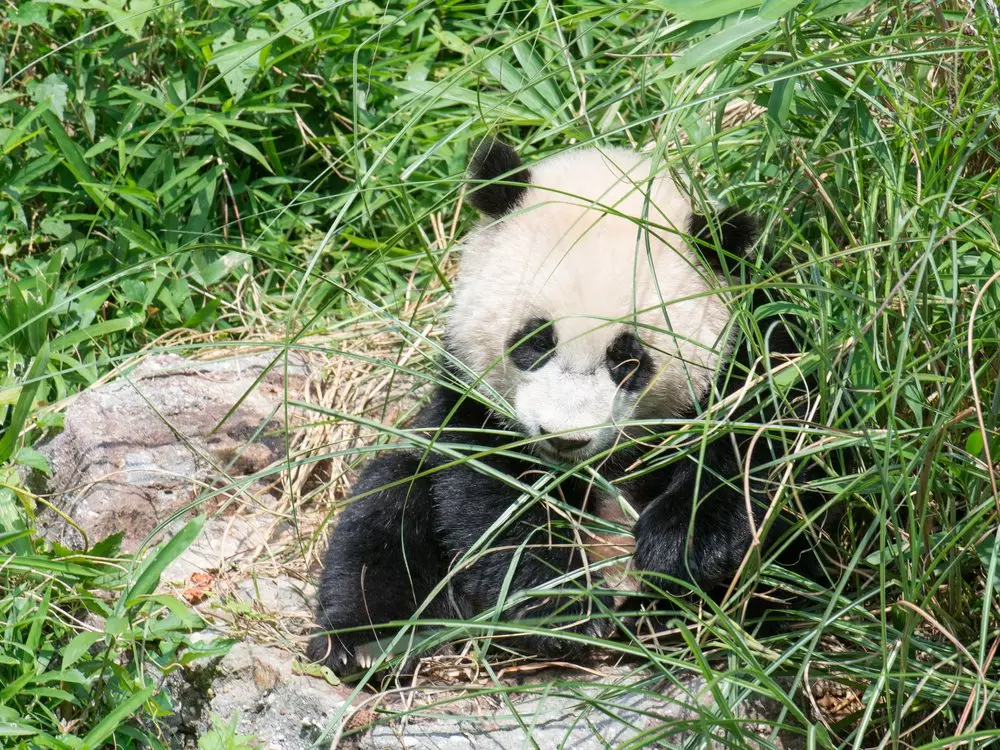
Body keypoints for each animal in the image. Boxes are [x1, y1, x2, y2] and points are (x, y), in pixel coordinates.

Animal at [308, 138, 816, 680]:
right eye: (536, 340)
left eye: (628, 360)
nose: (563, 438)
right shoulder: (469, 392)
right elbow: (490, 494)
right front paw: (564, 607)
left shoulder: (758, 342)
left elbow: (764, 443)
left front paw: (677, 547)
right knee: (386, 512)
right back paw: (367, 642)